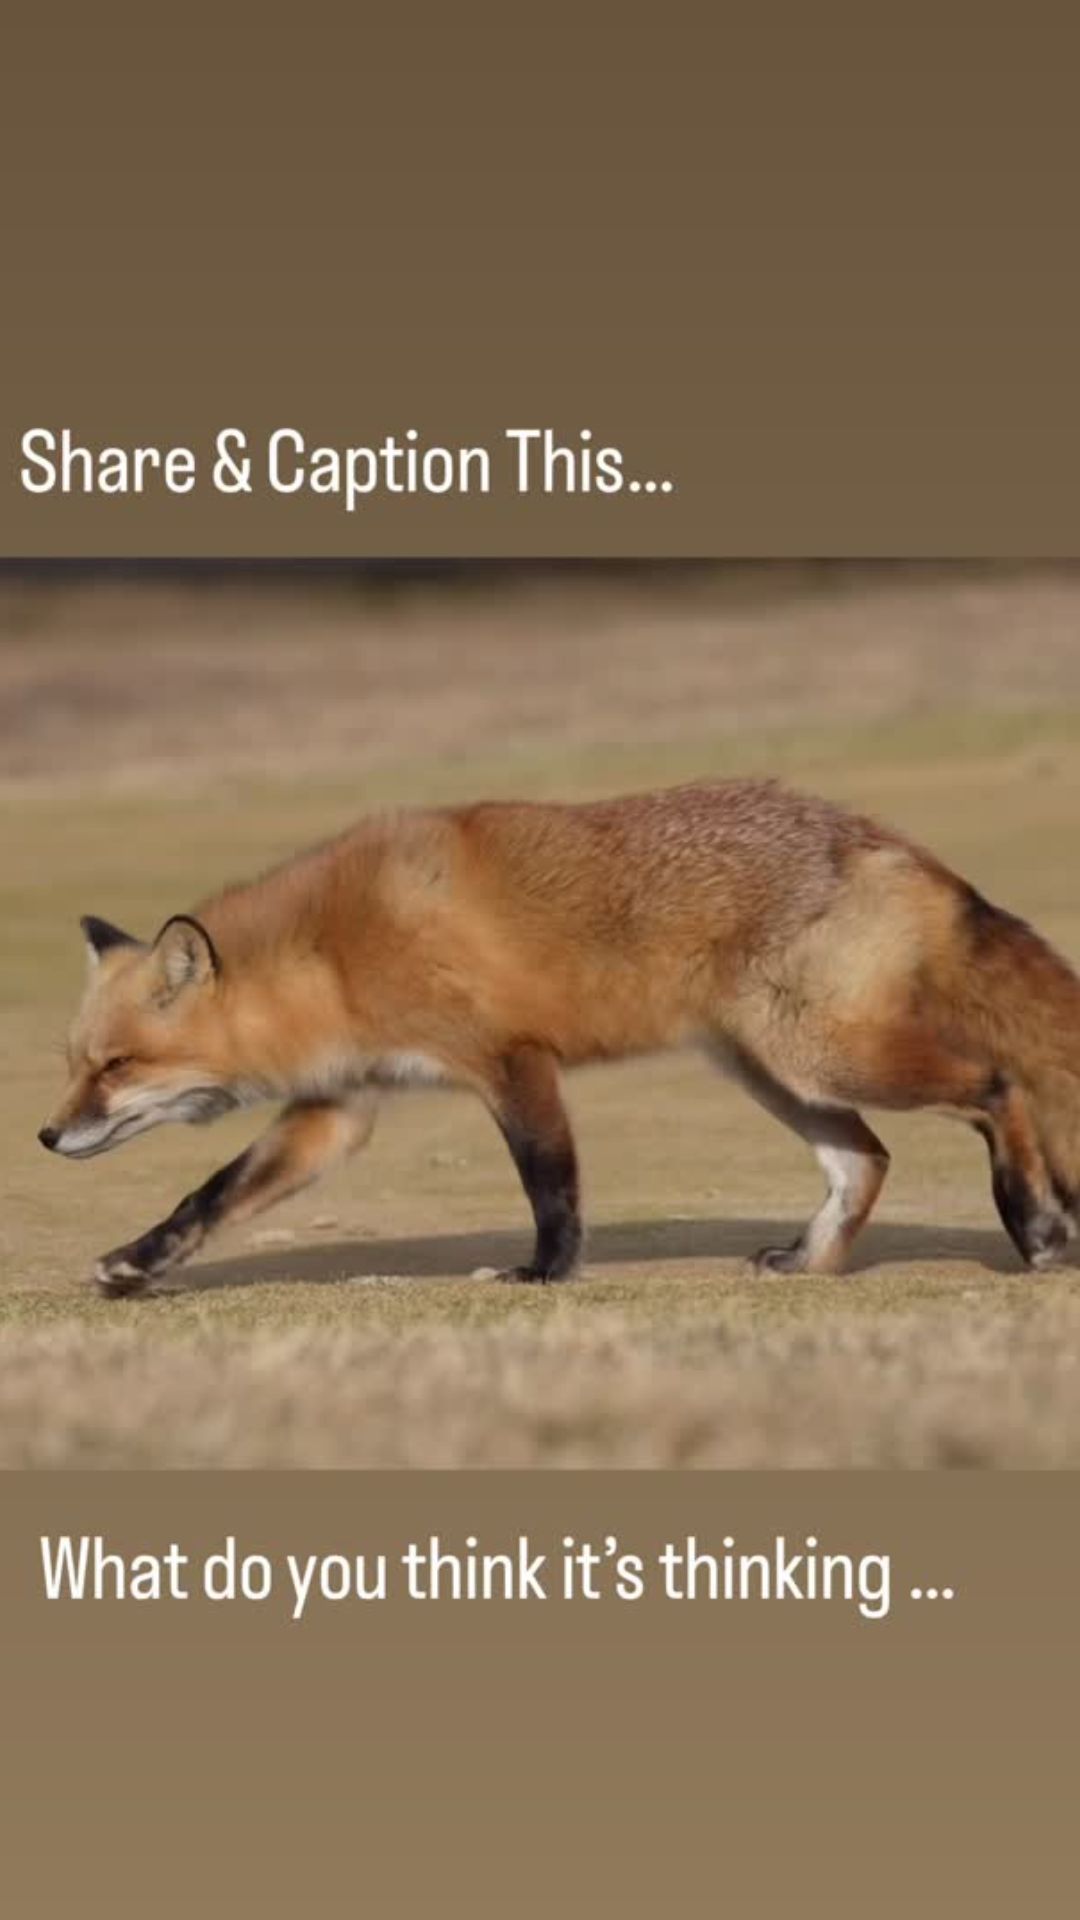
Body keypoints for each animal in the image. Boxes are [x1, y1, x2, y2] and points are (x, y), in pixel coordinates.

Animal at [37, 777, 1080, 1296]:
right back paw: (810, 1266)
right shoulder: (339, 1108)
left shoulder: (511, 1060)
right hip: (772, 1070)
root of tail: (886, 837)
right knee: (867, 1161)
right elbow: (209, 1197)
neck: (332, 953)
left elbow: (551, 1184)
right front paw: (135, 1266)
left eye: (117, 1066)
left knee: (998, 1087)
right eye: (76, 1065)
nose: (46, 1136)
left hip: (821, 1053)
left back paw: (1034, 1229)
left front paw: (544, 1273)